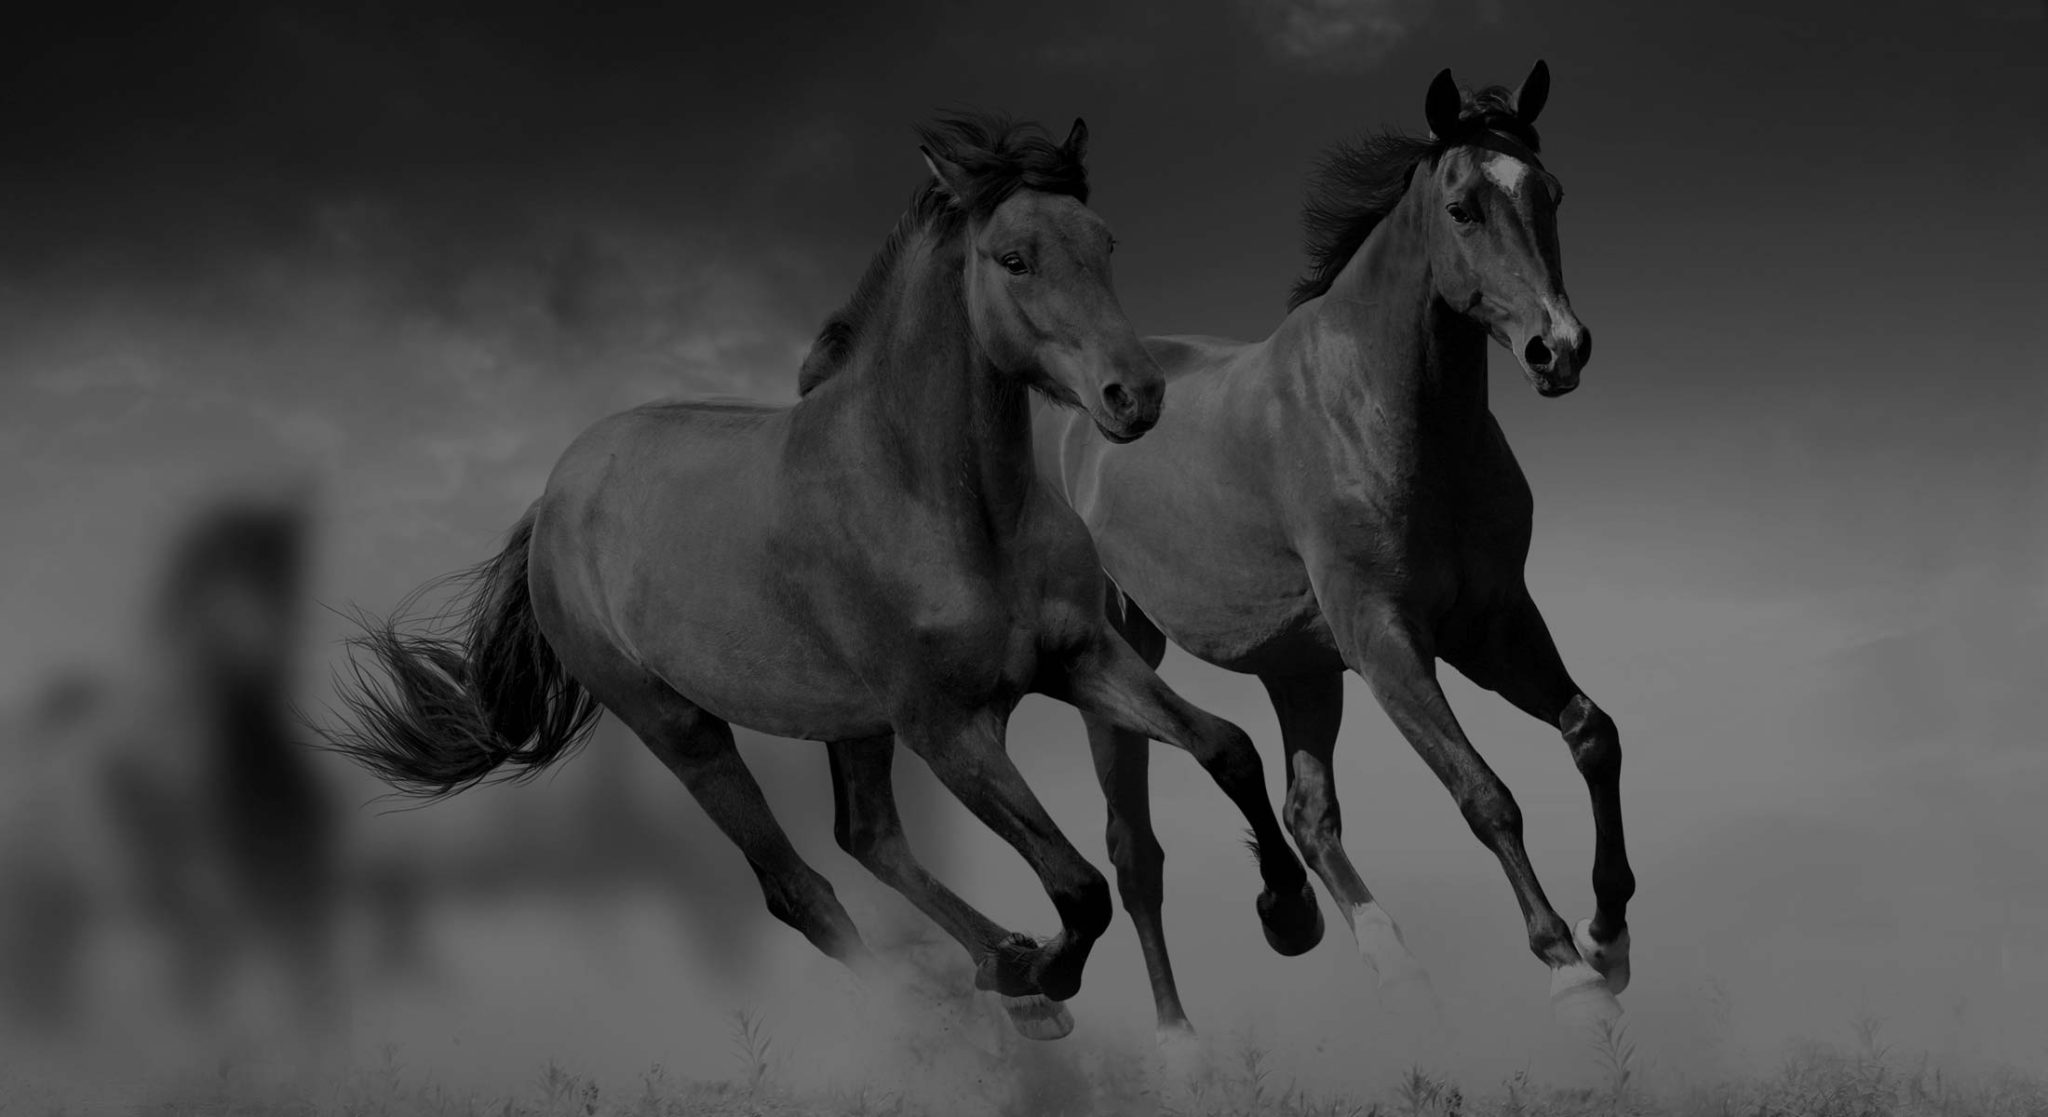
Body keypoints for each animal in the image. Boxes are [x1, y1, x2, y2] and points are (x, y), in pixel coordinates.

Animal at [319, 113, 1321, 1042]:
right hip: (683, 727)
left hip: (851, 722)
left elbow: (1228, 746)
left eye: (1104, 242)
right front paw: (1048, 970)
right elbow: (1078, 886)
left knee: (868, 836)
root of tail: (554, 500)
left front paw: (1290, 915)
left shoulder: (1079, 657)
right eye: (1015, 258)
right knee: (799, 887)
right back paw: (968, 1000)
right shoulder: (946, 726)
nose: (1136, 396)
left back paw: (1001, 964)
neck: (937, 501)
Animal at [1034, 62, 1633, 1043]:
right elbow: (1484, 792)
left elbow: (1592, 734)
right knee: (1135, 856)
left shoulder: (1493, 624)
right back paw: (1179, 1040)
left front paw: (1608, 936)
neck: (1382, 413)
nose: (1561, 348)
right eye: (1462, 206)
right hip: (1125, 659)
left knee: (1306, 814)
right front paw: (1567, 969)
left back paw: (1379, 959)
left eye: (1549, 193)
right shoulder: (1386, 639)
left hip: (1301, 669)